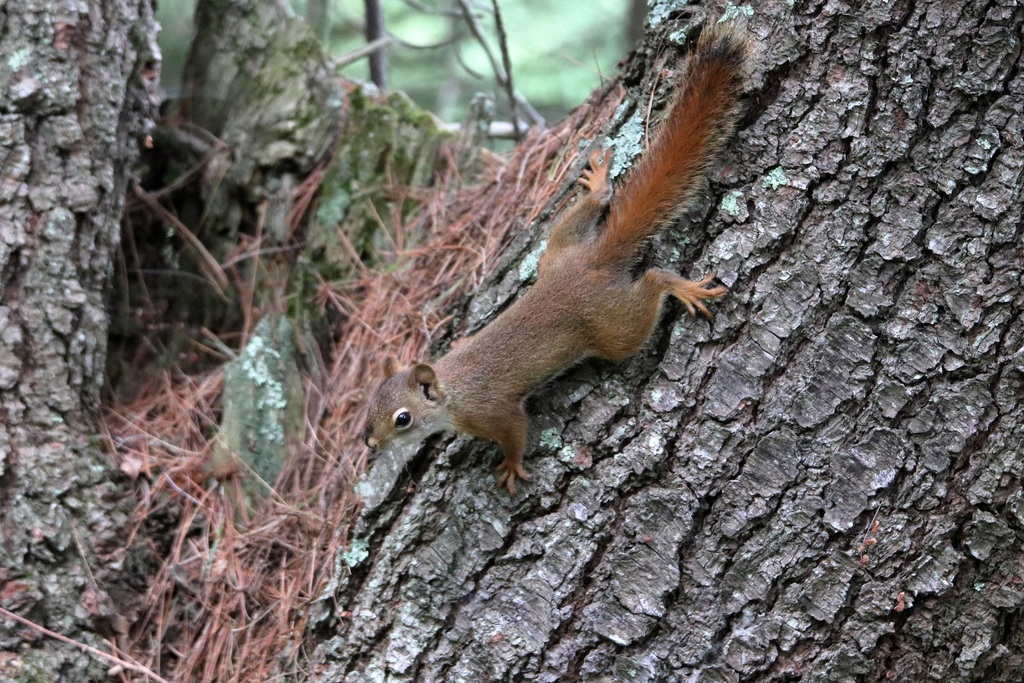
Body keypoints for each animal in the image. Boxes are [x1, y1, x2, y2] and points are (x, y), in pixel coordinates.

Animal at [363, 22, 752, 495]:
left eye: (402, 418)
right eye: (371, 404)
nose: (371, 443)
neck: (452, 391)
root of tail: (590, 265)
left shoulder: (495, 412)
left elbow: (515, 433)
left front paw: (512, 468)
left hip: (614, 327)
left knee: (651, 286)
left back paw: (679, 286)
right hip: (559, 248)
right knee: (590, 213)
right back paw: (598, 183)